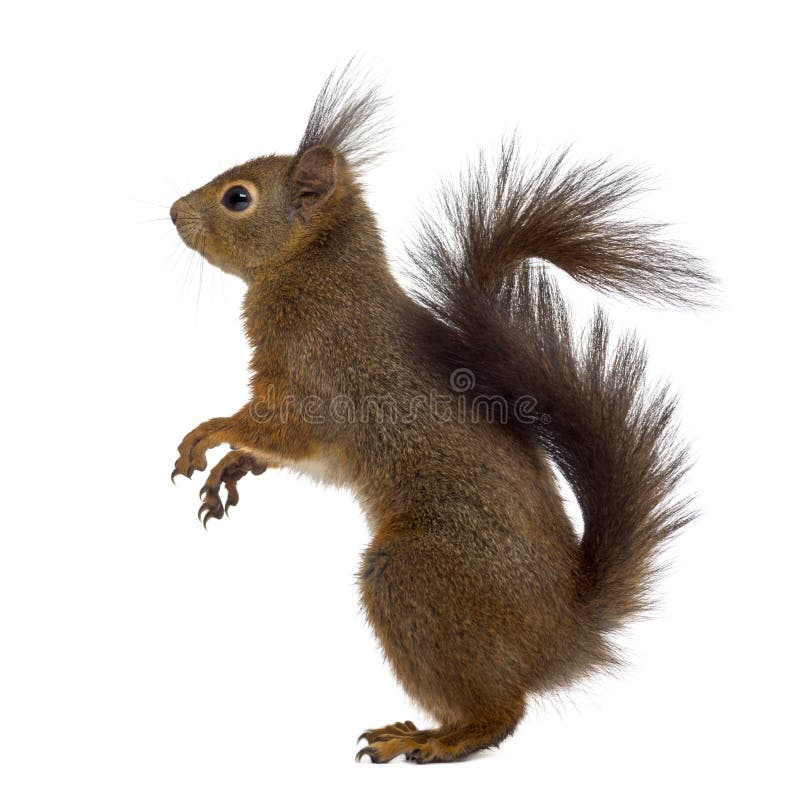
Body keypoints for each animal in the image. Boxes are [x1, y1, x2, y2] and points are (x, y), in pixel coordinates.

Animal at [169, 65, 713, 763]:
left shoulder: (320, 377)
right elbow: (283, 451)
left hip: (413, 577)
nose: (174, 211)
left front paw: (209, 435)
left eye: (238, 198)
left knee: (502, 712)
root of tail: (562, 636)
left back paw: (426, 739)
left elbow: (288, 431)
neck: (317, 276)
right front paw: (232, 468)